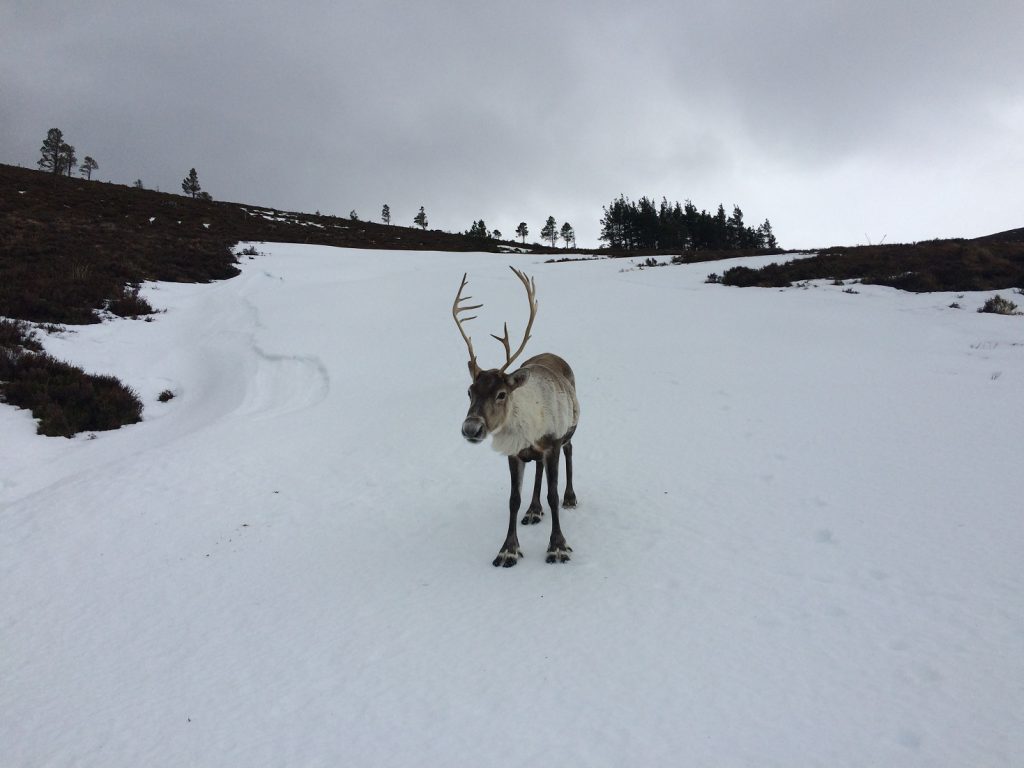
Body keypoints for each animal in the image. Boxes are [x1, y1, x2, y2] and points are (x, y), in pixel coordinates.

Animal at [453, 266, 580, 567]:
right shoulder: (514, 453)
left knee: (570, 452)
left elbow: (553, 495)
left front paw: (557, 546)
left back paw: (571, 497)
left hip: (570, 431)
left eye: (501, 393)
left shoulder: (552, 444)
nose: (471, 428)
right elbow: (513, 499)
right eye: (469, 390)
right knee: (538, 471)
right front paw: (508, 549)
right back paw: (534, 510)